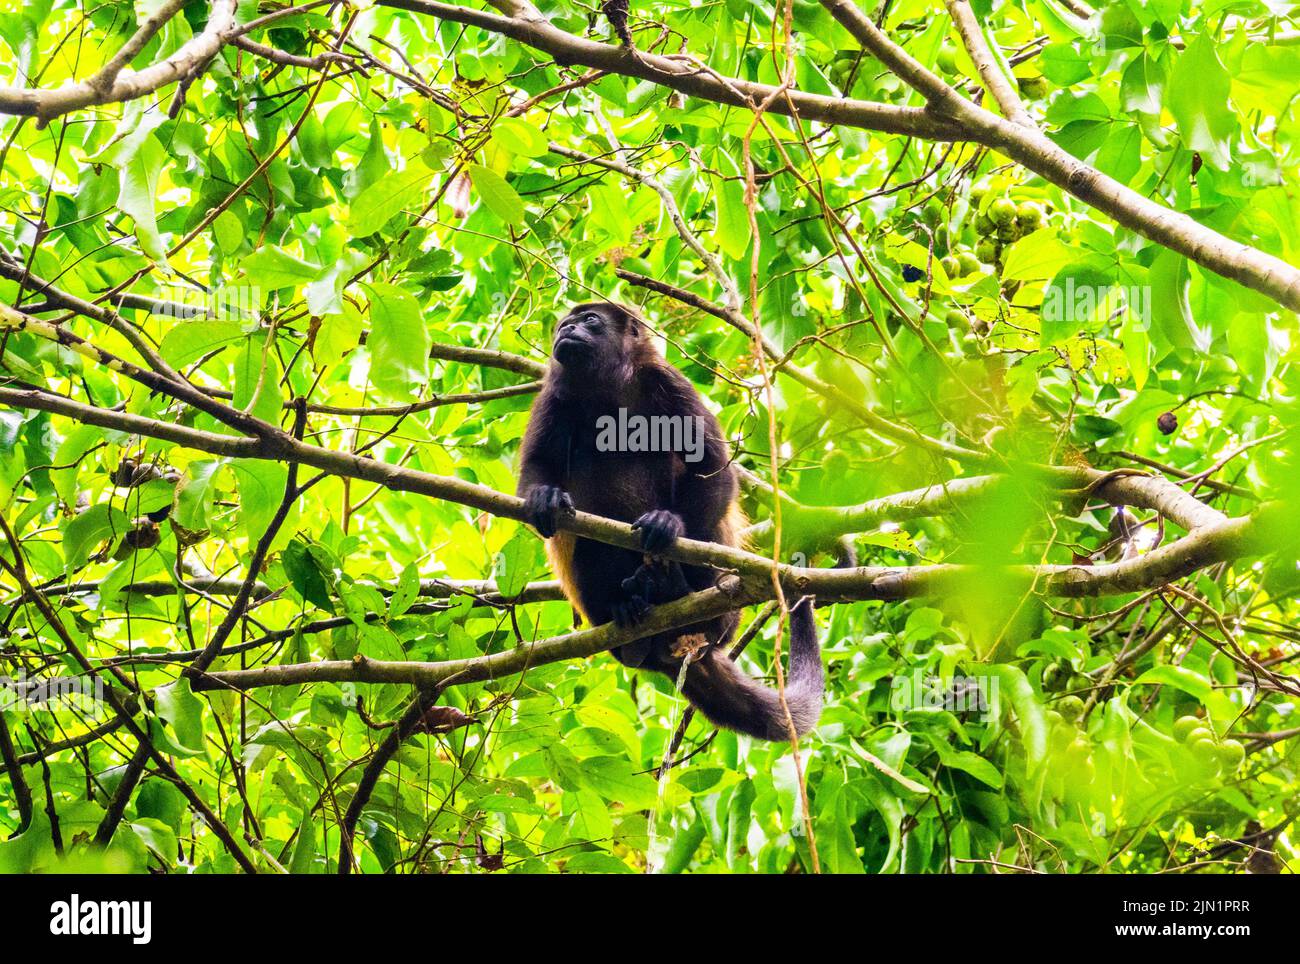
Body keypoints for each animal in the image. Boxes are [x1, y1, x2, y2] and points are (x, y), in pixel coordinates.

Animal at [517, 301, 832, 741]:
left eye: (589, 320)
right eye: (565, 323)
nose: (567, 330)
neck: (606, 391)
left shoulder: (669, 382)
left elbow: (712, 466)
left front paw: (668, 532)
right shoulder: (553, 395)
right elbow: (536, 465)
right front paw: (544, 498)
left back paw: (676, 588)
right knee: (590, 544)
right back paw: (628, 608)